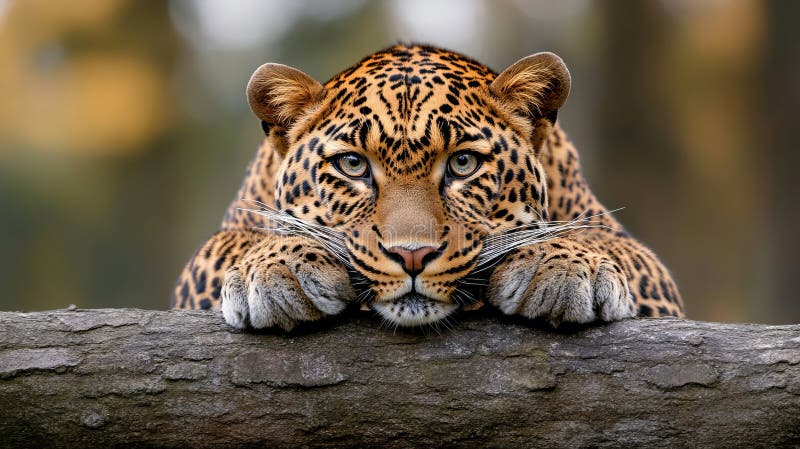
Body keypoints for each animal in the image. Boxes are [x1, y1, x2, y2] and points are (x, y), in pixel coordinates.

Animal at [172, 44, 684, 330]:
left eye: (463, 163)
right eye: (353, 165)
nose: (412, 256)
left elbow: (612, 245)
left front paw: (557, 262)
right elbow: (229, 245)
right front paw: (279, 268)